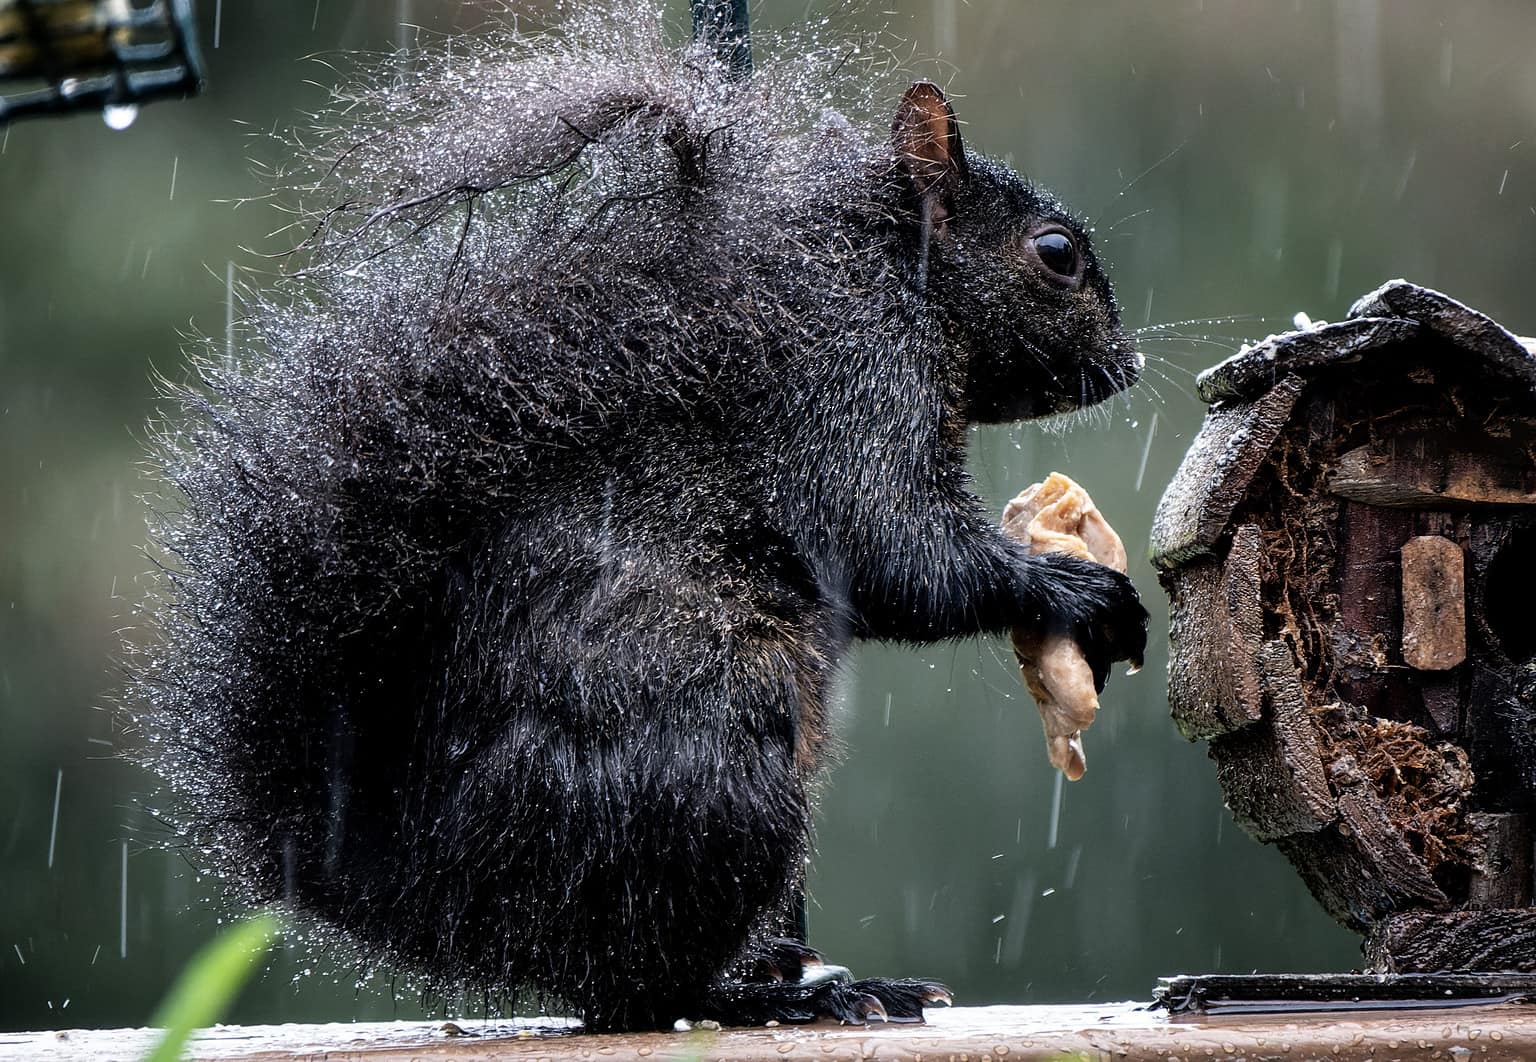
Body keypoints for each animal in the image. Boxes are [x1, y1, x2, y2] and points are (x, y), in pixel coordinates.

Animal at [132, 13, 1147, 1032]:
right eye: (1055, 253)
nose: (1131, 364)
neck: (892, 273)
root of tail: (416, 888)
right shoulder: (851, 381)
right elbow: (899, 554)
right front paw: (1083, 591)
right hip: (714, 766)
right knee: (639, 987)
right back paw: (794, 995)